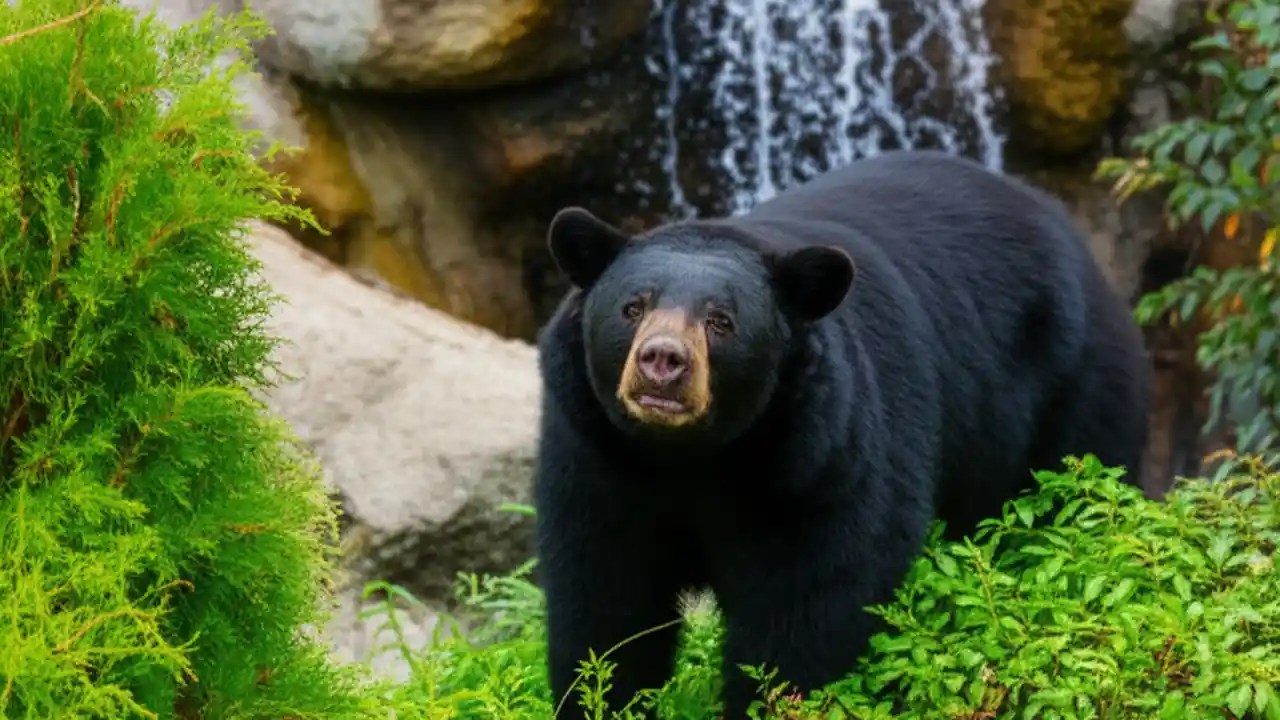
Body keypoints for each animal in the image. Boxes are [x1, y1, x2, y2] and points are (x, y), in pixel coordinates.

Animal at [532, 149, 1151, 719]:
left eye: (722, 322)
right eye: (632, 307)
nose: (663, 361)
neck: (694, 456)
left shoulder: (819, 456)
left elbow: (810, 602)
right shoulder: (594, 456)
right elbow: (605, 598)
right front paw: (600, 696)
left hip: (1074, 392)